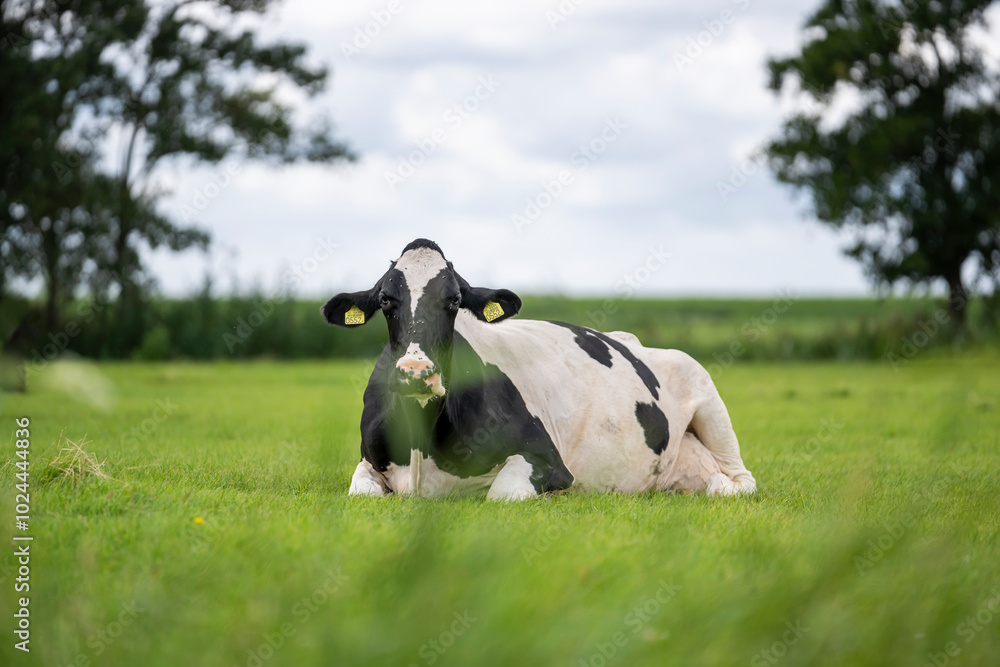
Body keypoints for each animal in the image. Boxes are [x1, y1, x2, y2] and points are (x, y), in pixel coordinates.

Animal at [322, 239, 756, 501]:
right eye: (385, 299)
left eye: (455, 300)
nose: (415, 371)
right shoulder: (368, 462)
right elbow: (361, 492)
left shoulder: (549, 460)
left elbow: (500, 494)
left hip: (708, 397)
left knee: (741, 481)